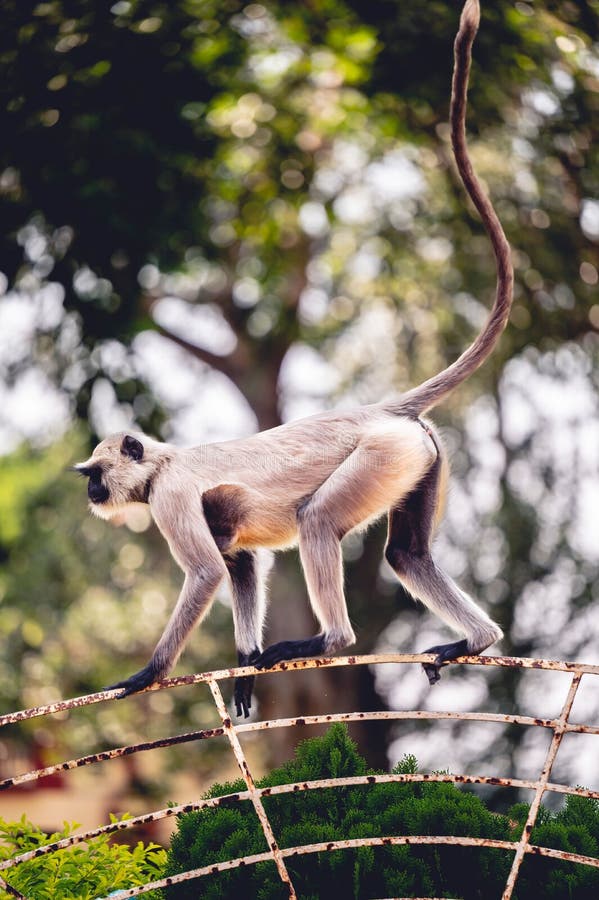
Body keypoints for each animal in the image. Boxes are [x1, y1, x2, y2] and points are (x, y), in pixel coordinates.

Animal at [73, 0, 512, 717]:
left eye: (95, 472)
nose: (89, 491)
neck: (164, 460)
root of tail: (380, 410)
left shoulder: (170, 494)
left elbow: (206, 571)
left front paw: (149, 674)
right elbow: (240, 564)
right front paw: (245, 667)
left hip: (381, 455)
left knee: (318, 521)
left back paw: (331, 640)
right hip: (417, 455)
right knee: (407, 554)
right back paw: (475, 639)